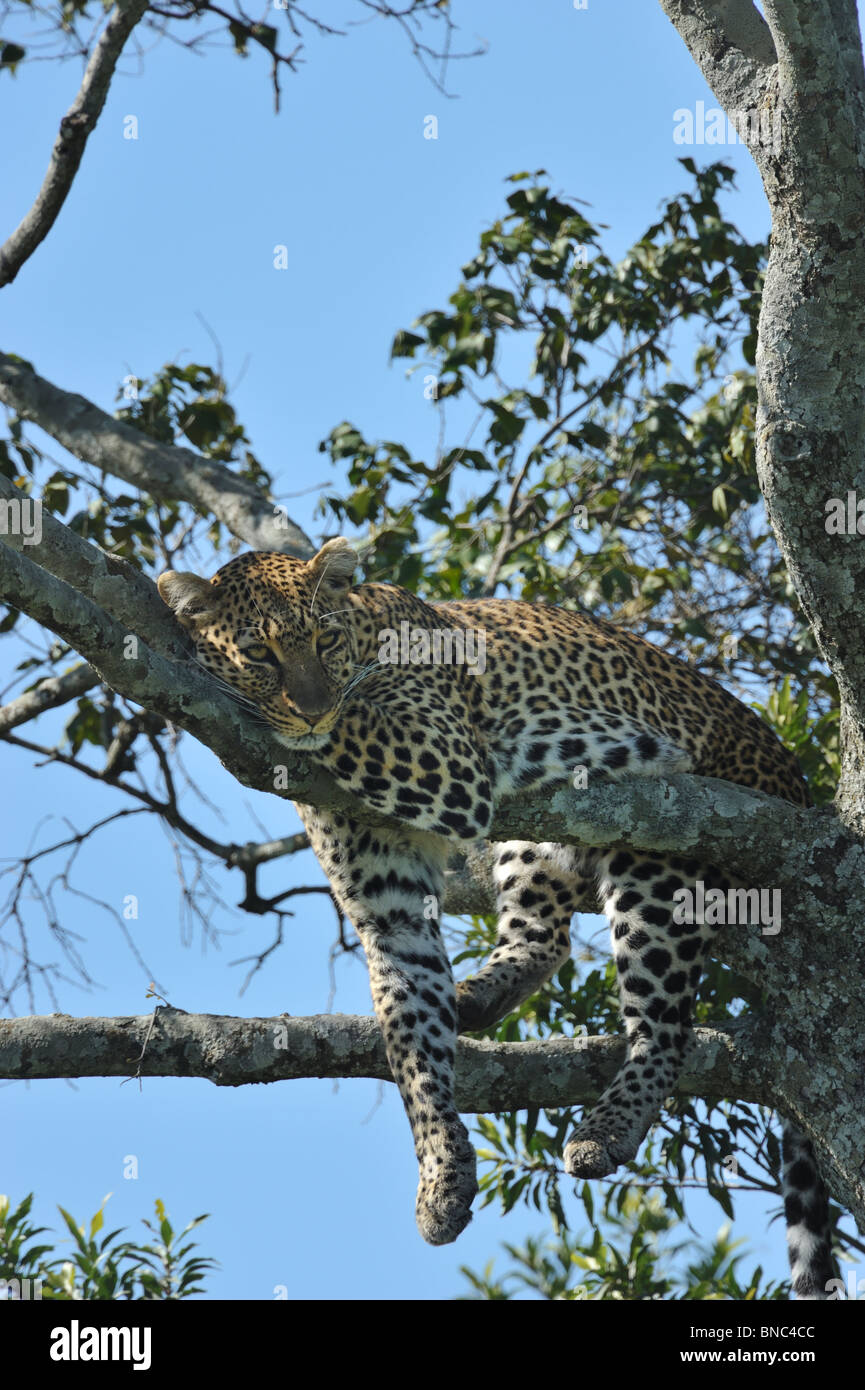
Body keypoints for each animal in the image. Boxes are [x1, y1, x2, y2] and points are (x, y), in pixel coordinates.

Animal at [157, 537, 835, 1299]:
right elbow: (413, 1048)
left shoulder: (445, 757)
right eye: (259, 653)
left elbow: (361, 716)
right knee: (545, 939)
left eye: (323, 641)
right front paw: (441, 1177)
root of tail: (795, 784)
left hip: (664, 848)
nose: (309, 712)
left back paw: (606, 1130)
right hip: (532, 846)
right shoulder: (390, 910)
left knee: (663, 1028)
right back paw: (479, 995)